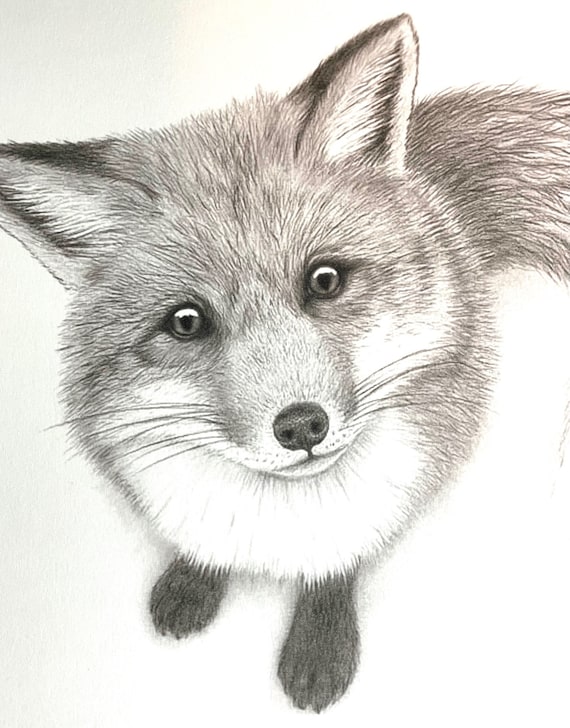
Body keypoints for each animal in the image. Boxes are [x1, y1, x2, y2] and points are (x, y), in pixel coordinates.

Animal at [1, 12, 569, 712]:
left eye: (324, 281)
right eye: (186, 322)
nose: (302, 426)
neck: (276, 525)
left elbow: (340, 561)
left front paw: (319, 643)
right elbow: (200, 548)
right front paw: (192, 582)